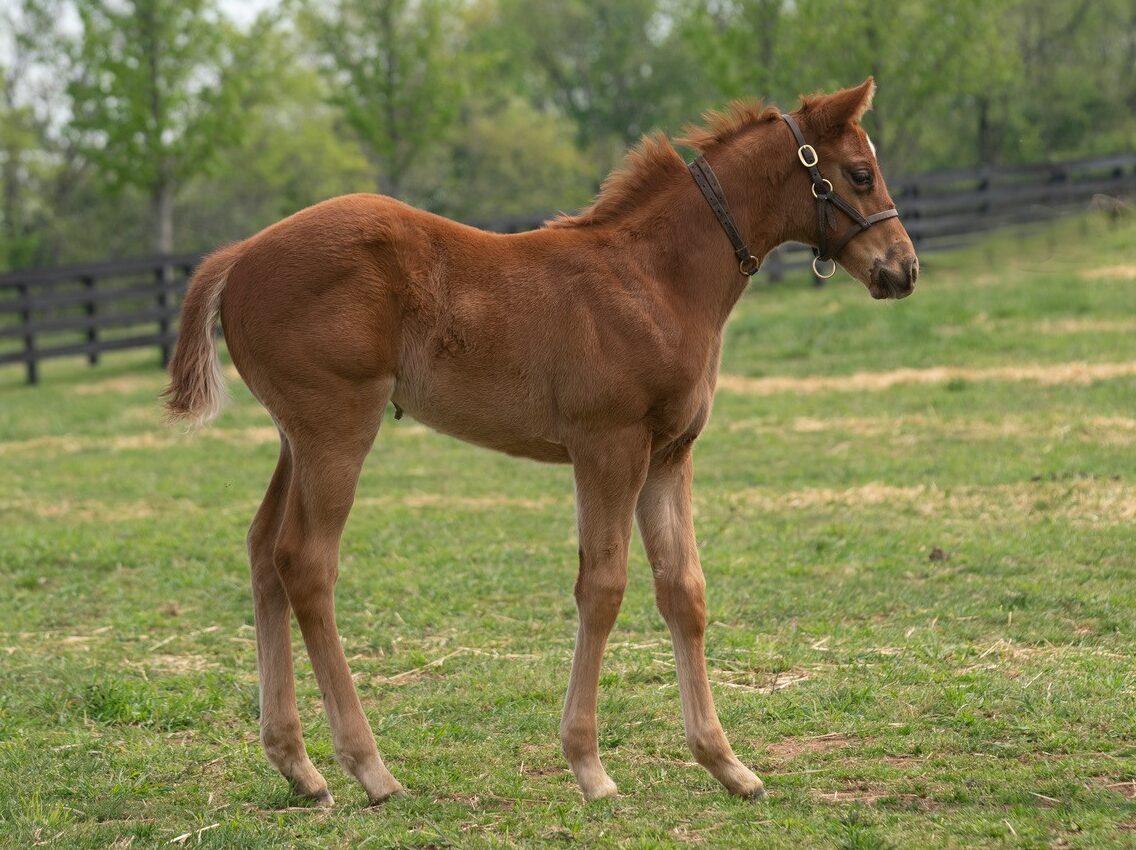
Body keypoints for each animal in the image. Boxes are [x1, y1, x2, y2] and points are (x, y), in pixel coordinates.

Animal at [163, 77, 918, 805]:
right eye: (858, 174)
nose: (903, 269)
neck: (655, 278)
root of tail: (239, 255)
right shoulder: (608, 447)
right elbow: (604, 586)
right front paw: (589, 768)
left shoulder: (669, 454)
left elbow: (684, 589)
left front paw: (727, 765)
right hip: (338, 428)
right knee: (306, 562)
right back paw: (372, 771)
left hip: (296, 437)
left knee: (263, 551)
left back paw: (299, 766)